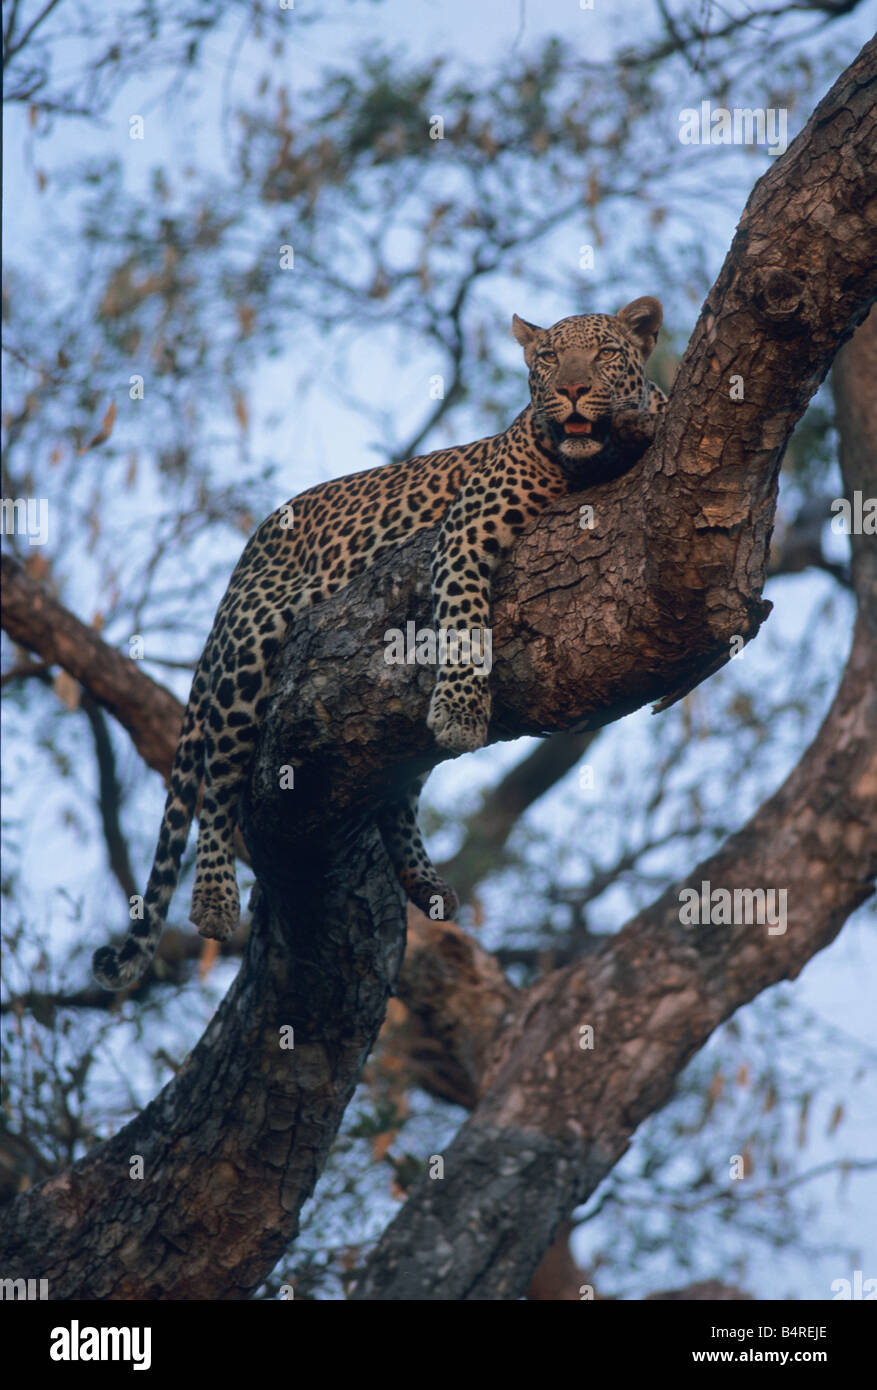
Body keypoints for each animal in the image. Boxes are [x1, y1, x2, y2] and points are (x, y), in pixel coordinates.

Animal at [93, 295, 666, 989]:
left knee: (399, 784)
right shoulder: (466, 528)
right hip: (250, 645)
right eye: (550, 358)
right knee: (221, 778)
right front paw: (462, 709)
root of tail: (251, 545)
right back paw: (212, 899)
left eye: (606, 353)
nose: (573, 390)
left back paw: (424, 882)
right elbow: (464, 620)